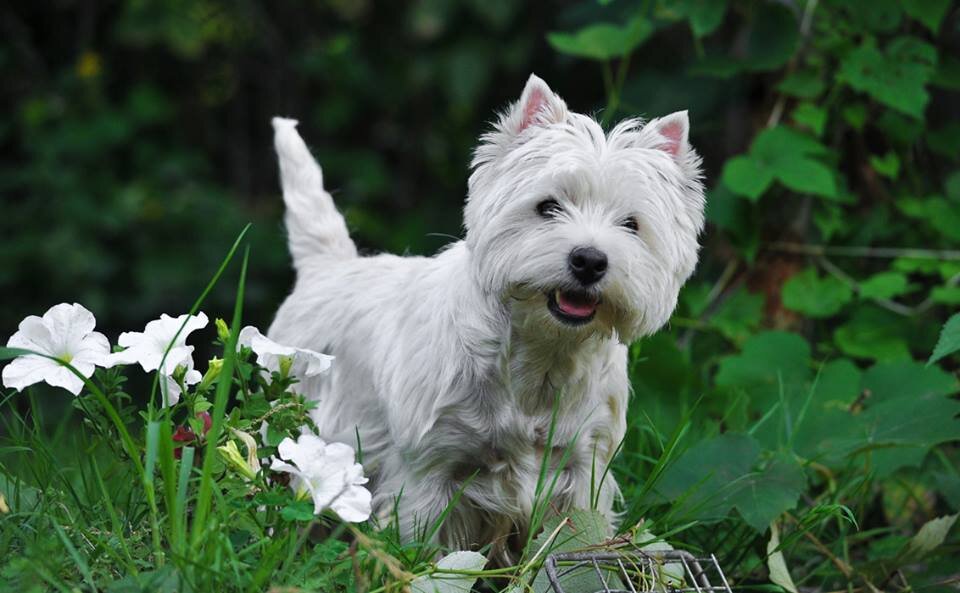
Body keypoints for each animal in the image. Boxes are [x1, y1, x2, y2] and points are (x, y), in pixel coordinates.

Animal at [270, 75, 704, 560]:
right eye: (548, 206)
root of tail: (326, 267)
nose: (589, 260)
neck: (542, 357)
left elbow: (573, 540)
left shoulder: (583, 467)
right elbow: (423, 543)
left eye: (631, 224)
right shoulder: (429, 471)